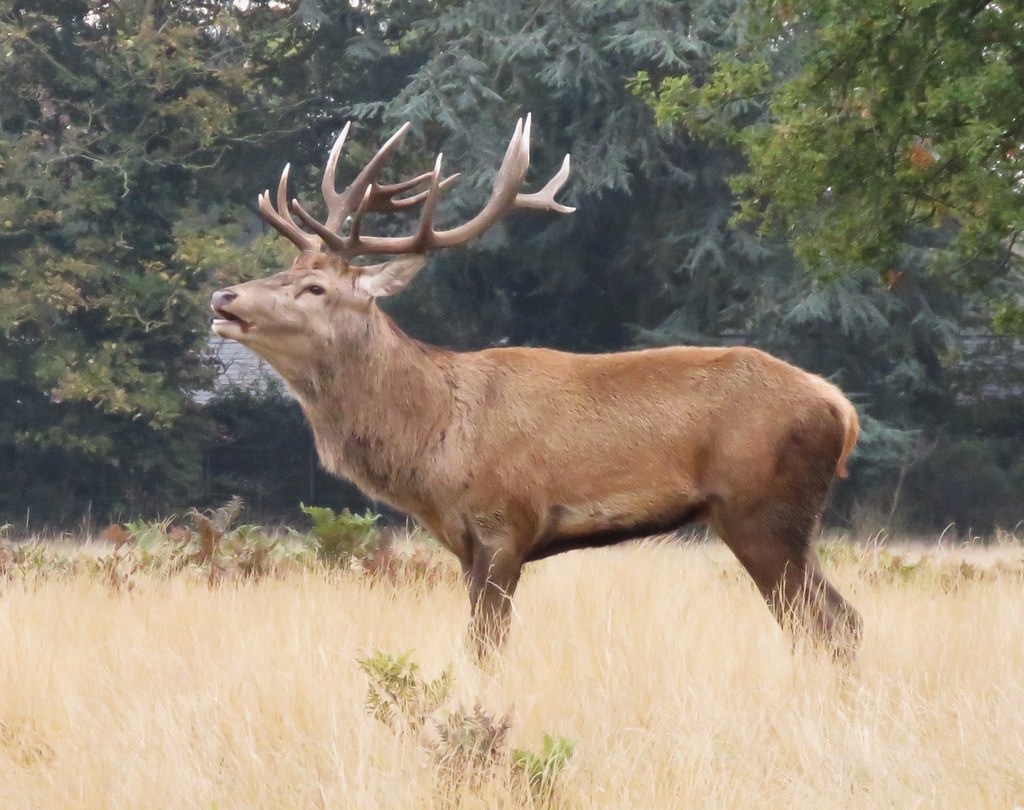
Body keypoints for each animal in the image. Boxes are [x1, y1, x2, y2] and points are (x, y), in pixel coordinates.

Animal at [210, 116, 863, 658]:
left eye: (315, 288)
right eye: (288, 270)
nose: (223, 296)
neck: (434, 439)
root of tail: (842, 408)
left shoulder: (507, 522)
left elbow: (485, 646)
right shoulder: (463, 543)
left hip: (764, 508)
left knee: (825, 623)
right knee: (840, 620)